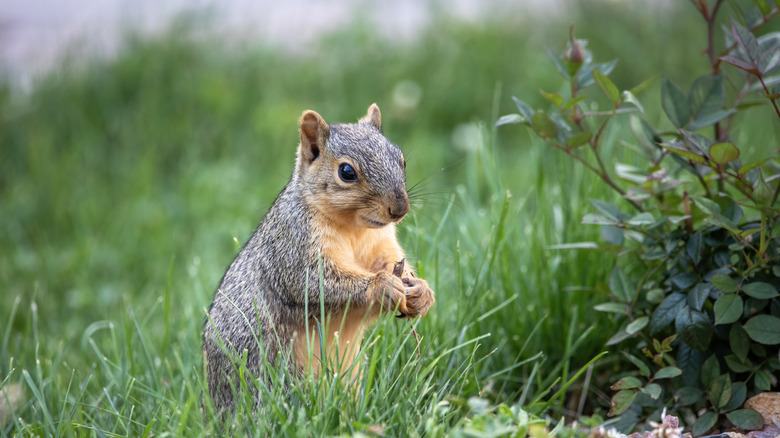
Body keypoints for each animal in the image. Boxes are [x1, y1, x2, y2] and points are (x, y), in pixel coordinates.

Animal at [202, 104, 435, 412]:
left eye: (401, 160)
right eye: (346, 172)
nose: (400, 209)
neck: (354, 228)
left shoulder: (381, 245)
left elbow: (390, 264)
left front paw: (421, 291)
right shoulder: (293, 246)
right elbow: (315, 284)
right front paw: (381, 285)